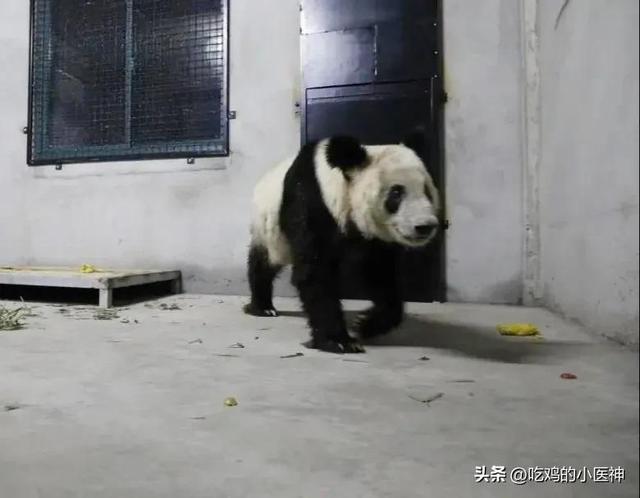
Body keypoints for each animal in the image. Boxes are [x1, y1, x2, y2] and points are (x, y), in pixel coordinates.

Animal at [243, 131, 441, 354]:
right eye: (396, 193)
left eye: (427, 191)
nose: (425, 226)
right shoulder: (310, 201)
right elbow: (314, 271)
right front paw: (338, 341)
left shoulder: (373, 237)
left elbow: (379, 273)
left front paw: (364, 325)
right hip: (270, 228)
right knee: (264, 262)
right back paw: (263, 307)